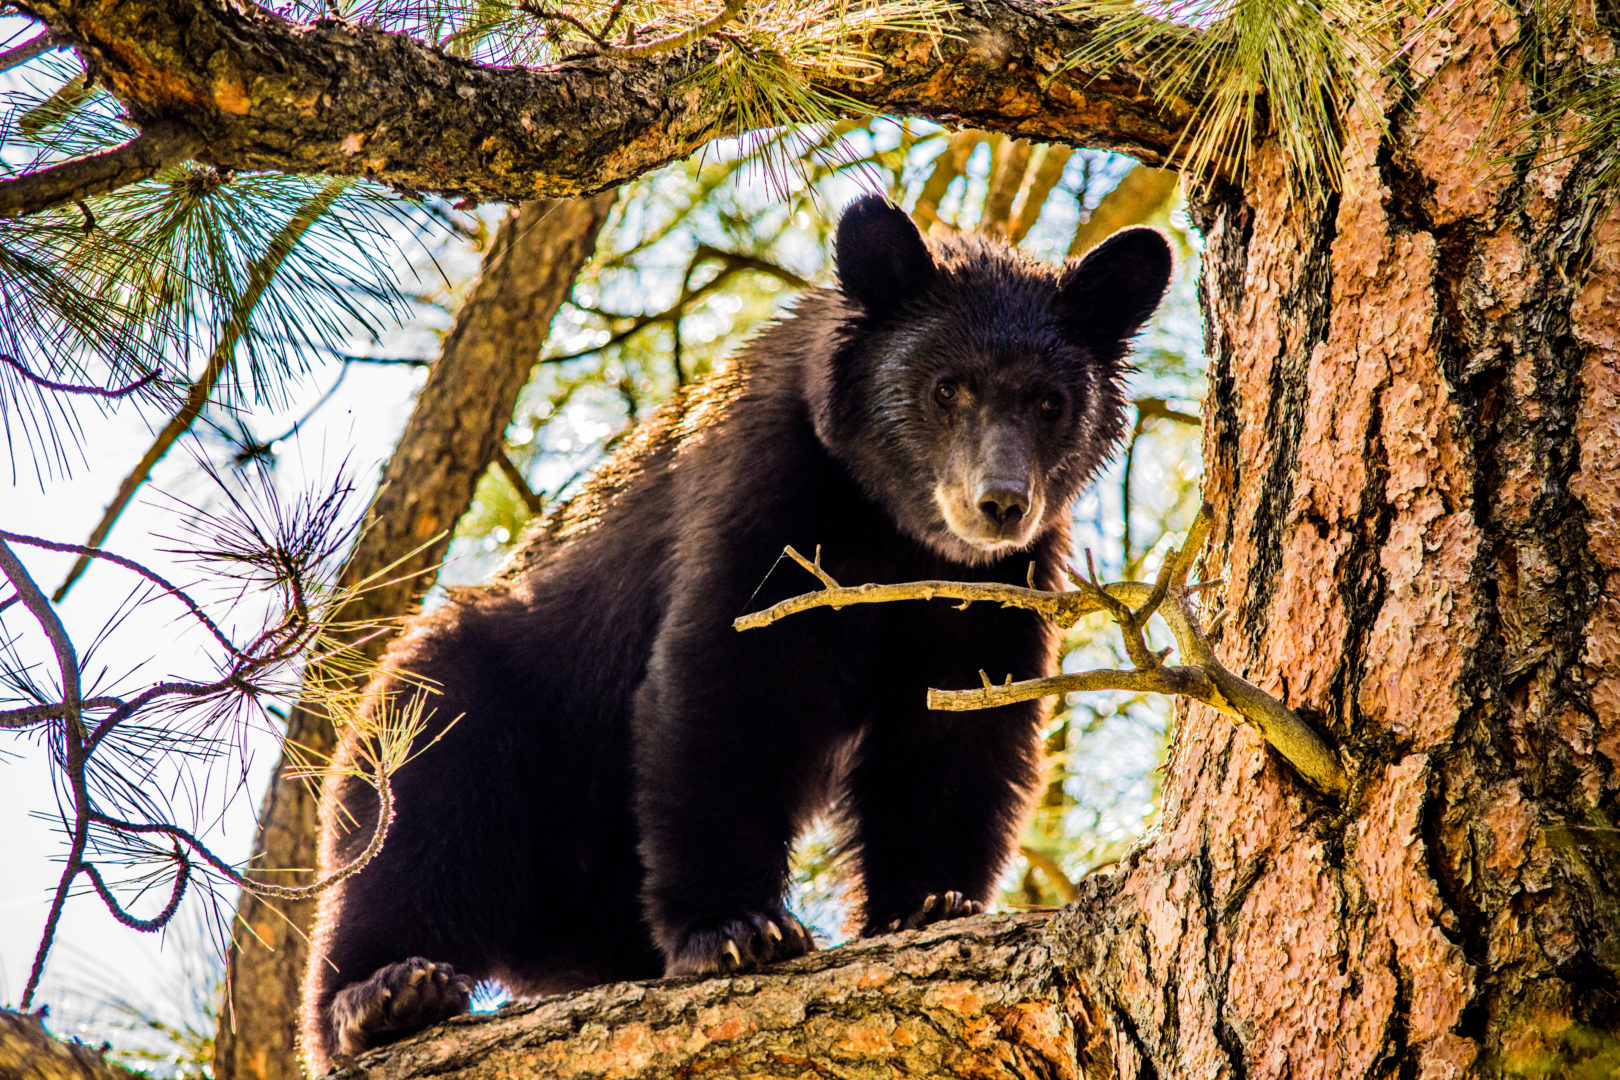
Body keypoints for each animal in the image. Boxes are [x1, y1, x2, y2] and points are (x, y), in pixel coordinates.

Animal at [301, 195, 1172, 1071]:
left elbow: (960, 726)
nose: (1000, 502)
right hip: (478, 695)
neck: (893, 535)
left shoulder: (996, 585)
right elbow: (725, 683)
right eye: (946, 388)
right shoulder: (766, 495)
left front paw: (931, 901)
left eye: (1050, 402)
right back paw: (384, 996)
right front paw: (735, 928)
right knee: (414, 816)